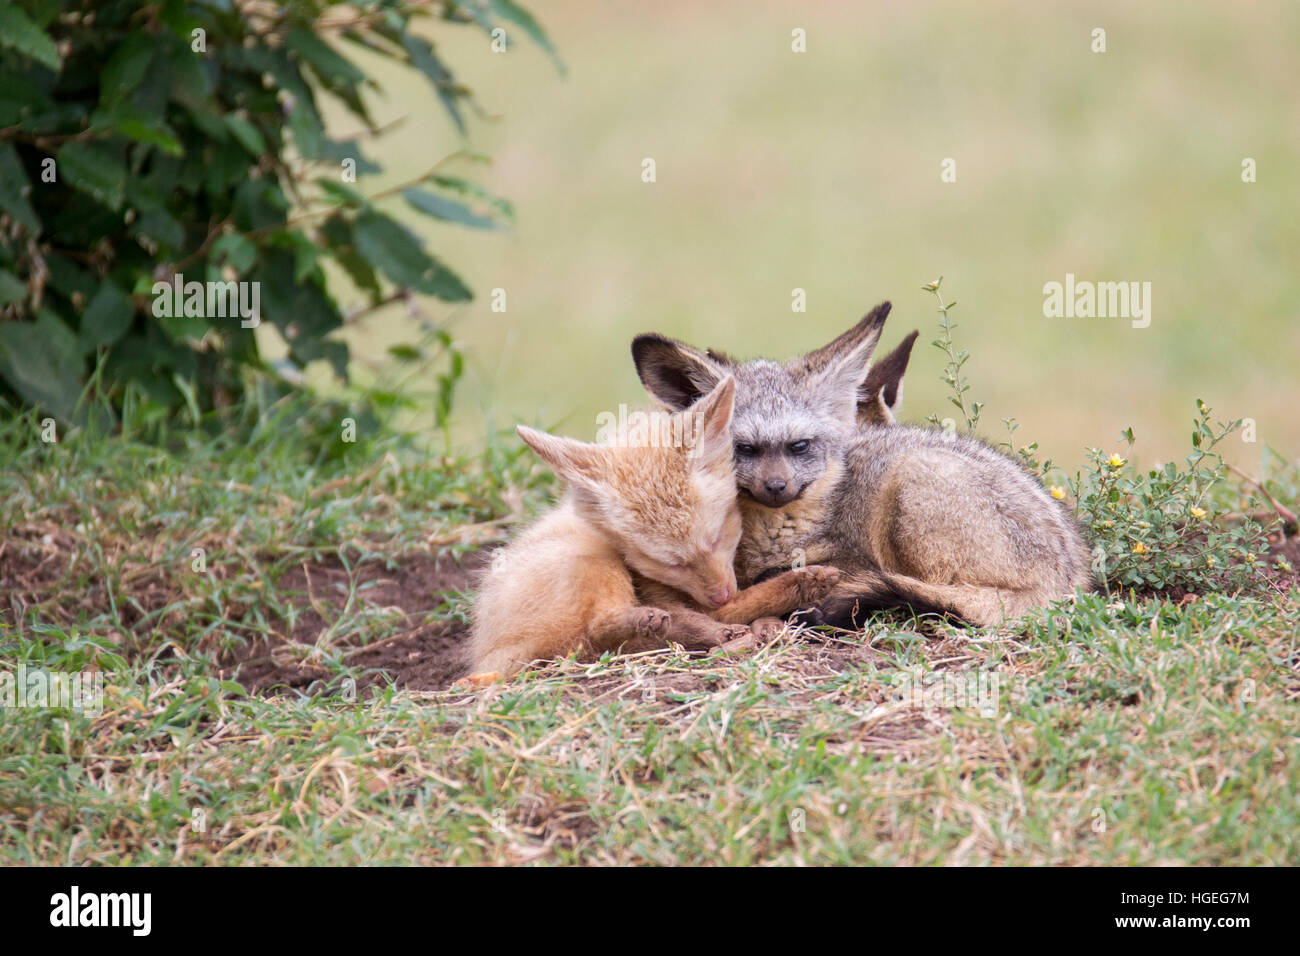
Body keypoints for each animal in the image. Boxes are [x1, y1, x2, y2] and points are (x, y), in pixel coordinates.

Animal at [464, 376, 842, 682]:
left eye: (717, 537)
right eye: (669, 562)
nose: (721, 594)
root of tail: (486, 652)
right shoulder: (681, 594)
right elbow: (736, 604)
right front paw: (801, 583)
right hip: (597, 560)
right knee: (599, 630)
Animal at [630, 301, 1095, 629]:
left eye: (799, 446)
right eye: (743, 449)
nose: (776, 487)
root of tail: (1062, 582)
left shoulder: (846, 558)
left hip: (908, 481)